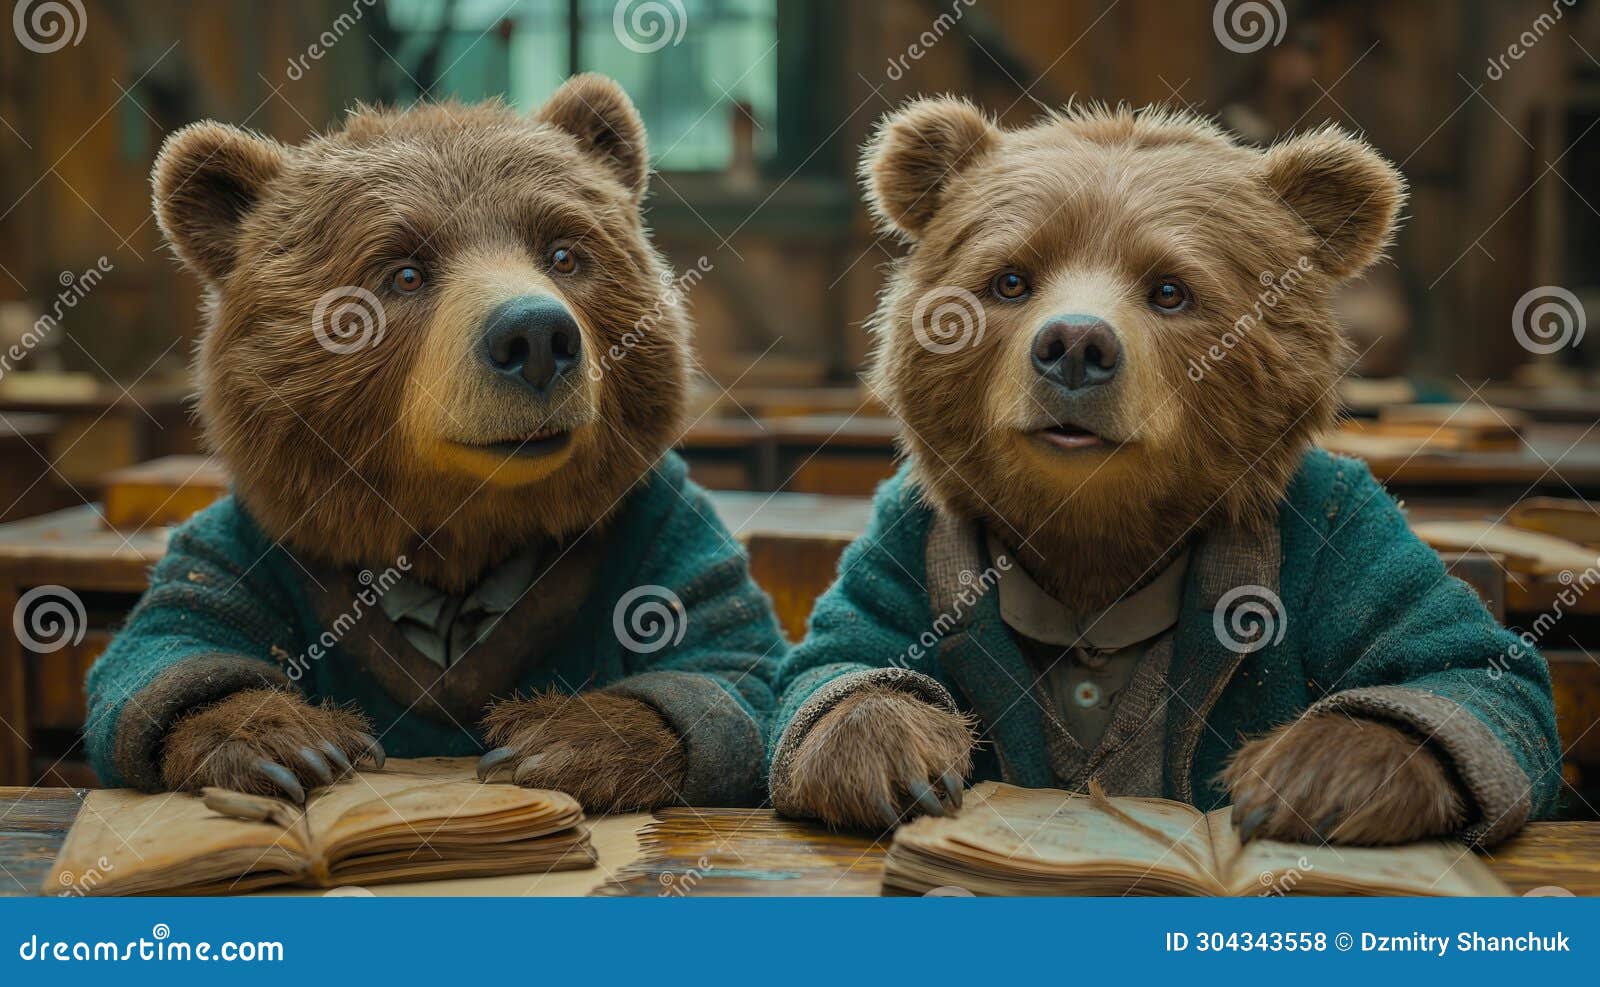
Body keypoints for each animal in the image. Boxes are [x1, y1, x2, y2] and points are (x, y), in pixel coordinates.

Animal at [84, 74, 786, 814]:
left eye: (564, 252)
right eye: (404, 271)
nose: (536, 336)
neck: (459, 525)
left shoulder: (661, 523)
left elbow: (725, 657)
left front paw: (558, 738)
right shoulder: (263, 537)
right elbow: (170, 642)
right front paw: (288, 741)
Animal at [766, 97, 1560, 847]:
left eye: (1171, 289)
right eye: (1011, 279)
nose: (1075, 345)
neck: (1097, 536)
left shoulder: (1343, 526)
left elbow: (1458, 663)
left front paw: (1309, 775)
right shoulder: (903, 541)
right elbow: (839, 656)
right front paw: (895, 758)